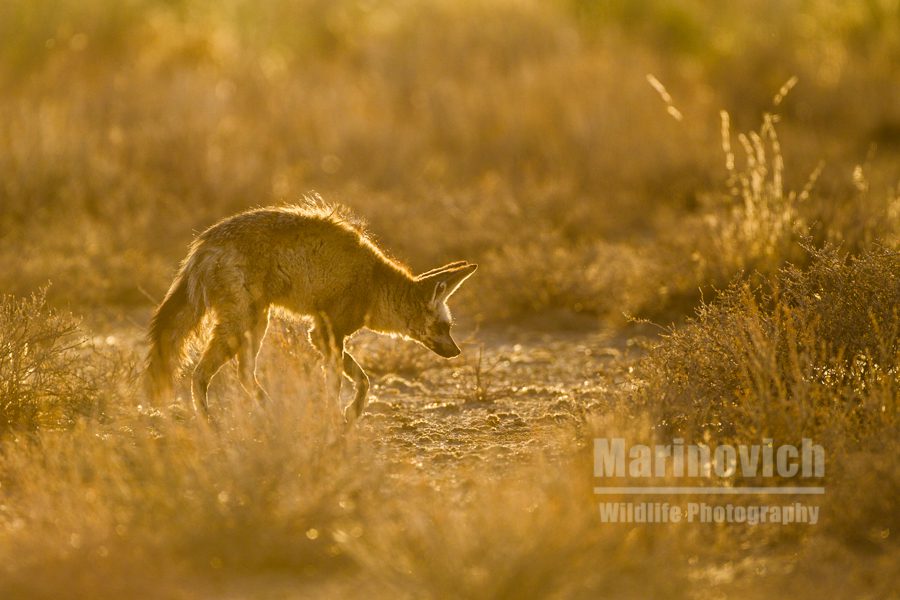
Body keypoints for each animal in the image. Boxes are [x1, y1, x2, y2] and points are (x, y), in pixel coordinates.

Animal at [146, 200, 477, 421]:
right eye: (444, 328)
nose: (457, 352)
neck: (374, 283)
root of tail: (203, 242)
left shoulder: (319, 333)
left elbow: (363, 380)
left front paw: (351, 411)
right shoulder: (329, 333)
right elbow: (339, 383)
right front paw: (335, 415)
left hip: (256, 323)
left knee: (242, 373)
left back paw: (268, 409)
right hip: (241, 326)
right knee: (200, 375)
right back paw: (210, 424)